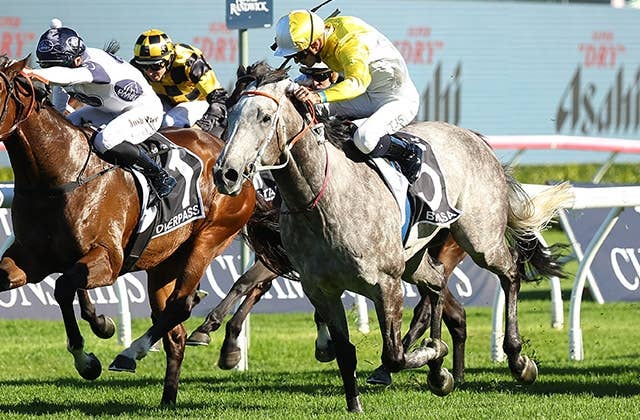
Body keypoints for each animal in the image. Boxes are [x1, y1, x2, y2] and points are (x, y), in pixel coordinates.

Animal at [0, 56, 256, 406]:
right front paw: (99, 328)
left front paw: (87, 359)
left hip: (209, 238)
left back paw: (129, 354)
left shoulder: (108, 260)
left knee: (181, 305)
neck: (60, 173)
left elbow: (63, 288)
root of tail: (236, 166)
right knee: (174, 331)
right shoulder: (30, 260)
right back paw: (167, 399)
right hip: (164, 263)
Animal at [212, 62, 571, 412]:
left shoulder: (386, 284)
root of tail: (475, 136)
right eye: (231, 115)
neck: (323, 202)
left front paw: (426, 355)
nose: (225, 173)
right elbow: (346, 351)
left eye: (264, 116)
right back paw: (441, 371)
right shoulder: (321, 289)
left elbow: (395, 355)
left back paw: (516, 359)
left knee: (509, 273)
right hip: (415, 257)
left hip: (478, 238)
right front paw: (356, 404)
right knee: (437, 282)